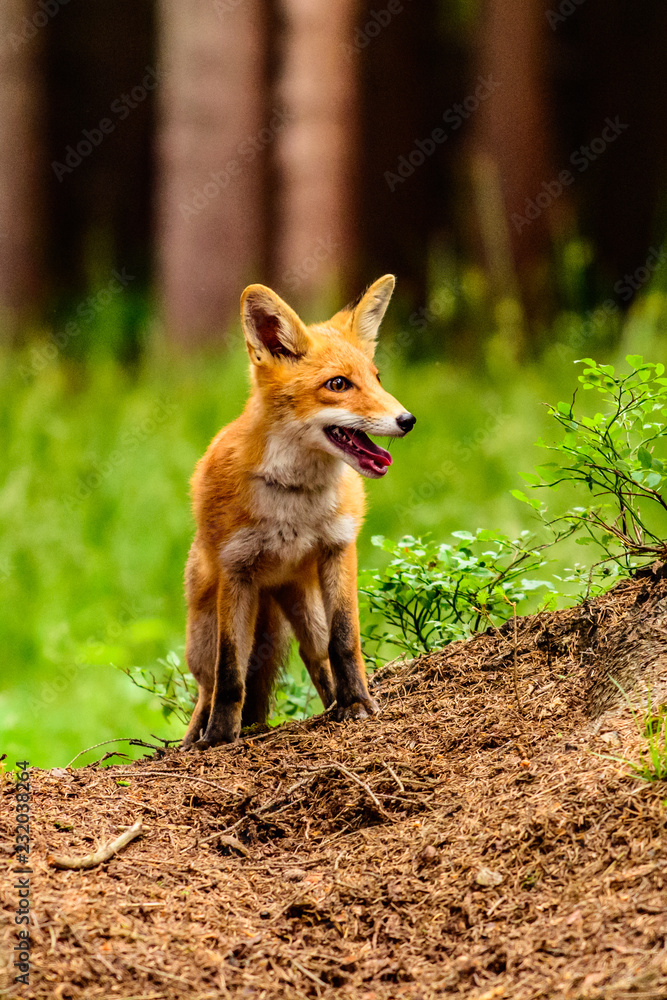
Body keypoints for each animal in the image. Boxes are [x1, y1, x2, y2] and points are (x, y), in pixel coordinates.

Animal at [180, 274, 416, 749]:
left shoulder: (338, 549)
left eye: (377, 378)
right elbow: (231, 674)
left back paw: (333, 705)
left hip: (307, 609)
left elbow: (345, 644)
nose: (407, 420)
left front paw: (357, 704)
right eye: (339, 384)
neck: (295, 498)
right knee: (209, 684)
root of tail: (275, 587)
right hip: (205, 628)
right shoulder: (237, 569)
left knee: (317, 656)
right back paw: (193, 739)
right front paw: (220, 738)